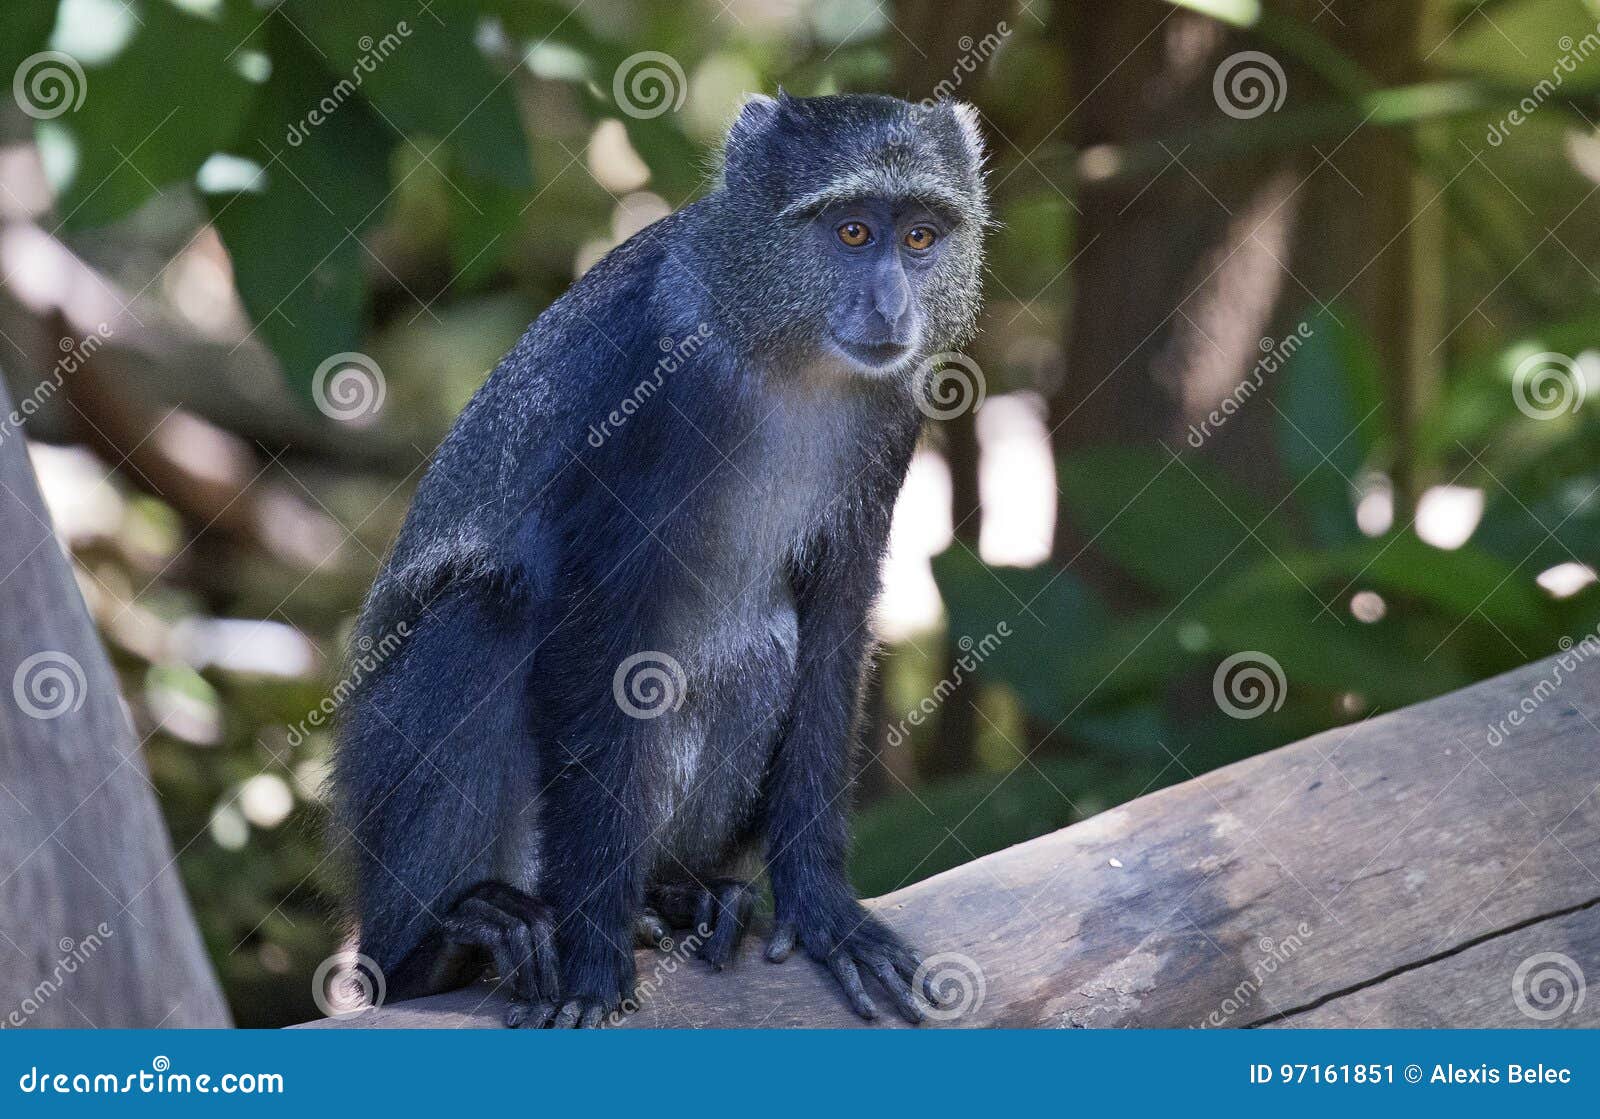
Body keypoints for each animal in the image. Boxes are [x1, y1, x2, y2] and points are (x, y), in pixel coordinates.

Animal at [330, 91, 988, 1028]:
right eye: (855, 232)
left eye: (923, 236)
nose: (893, 306)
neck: (779, 350)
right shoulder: (646, 387)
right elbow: (595, 631)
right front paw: (592, 963)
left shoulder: (893, 420)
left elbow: (833, 621)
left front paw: (822, 906)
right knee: (485, 618)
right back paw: (452, 940)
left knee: (761, 646)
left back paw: (678, 897)